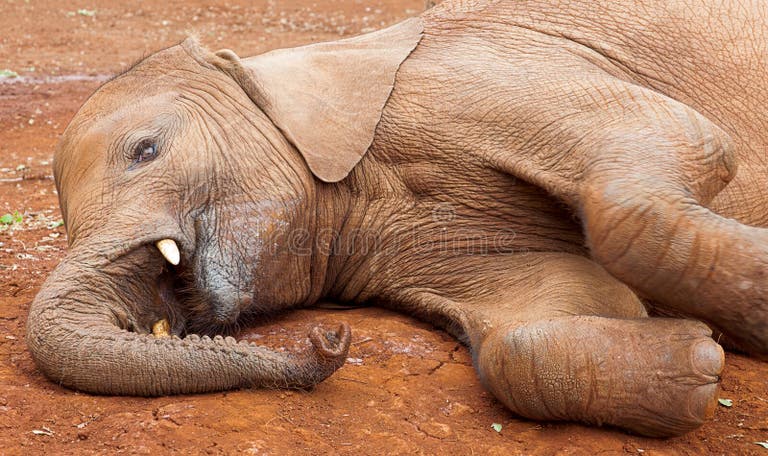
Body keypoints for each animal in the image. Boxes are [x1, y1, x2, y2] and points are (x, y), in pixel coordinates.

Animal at [26, 0, 768, 438]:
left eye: (145, 150)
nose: (330, 339)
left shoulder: (477, 72)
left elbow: (680, 145)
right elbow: (530, 337)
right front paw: (700, 364)